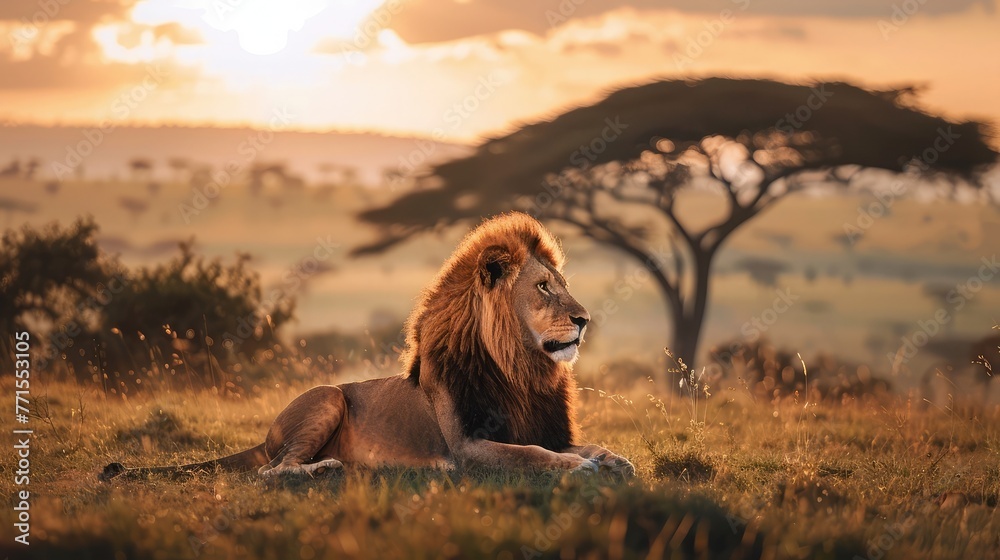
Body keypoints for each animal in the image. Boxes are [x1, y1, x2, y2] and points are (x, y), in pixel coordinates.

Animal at [100, 212, 634, 482]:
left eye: (562, 285)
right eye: (544, 287)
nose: (585, 320)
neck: (520, 369)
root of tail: (266, 434)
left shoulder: (543, 425)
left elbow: (578, 443)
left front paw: (613, 458)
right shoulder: (468, 447)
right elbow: (534, 456)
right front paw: (579, 467)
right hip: (327, 398)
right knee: (271, 471)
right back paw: (323, 468)